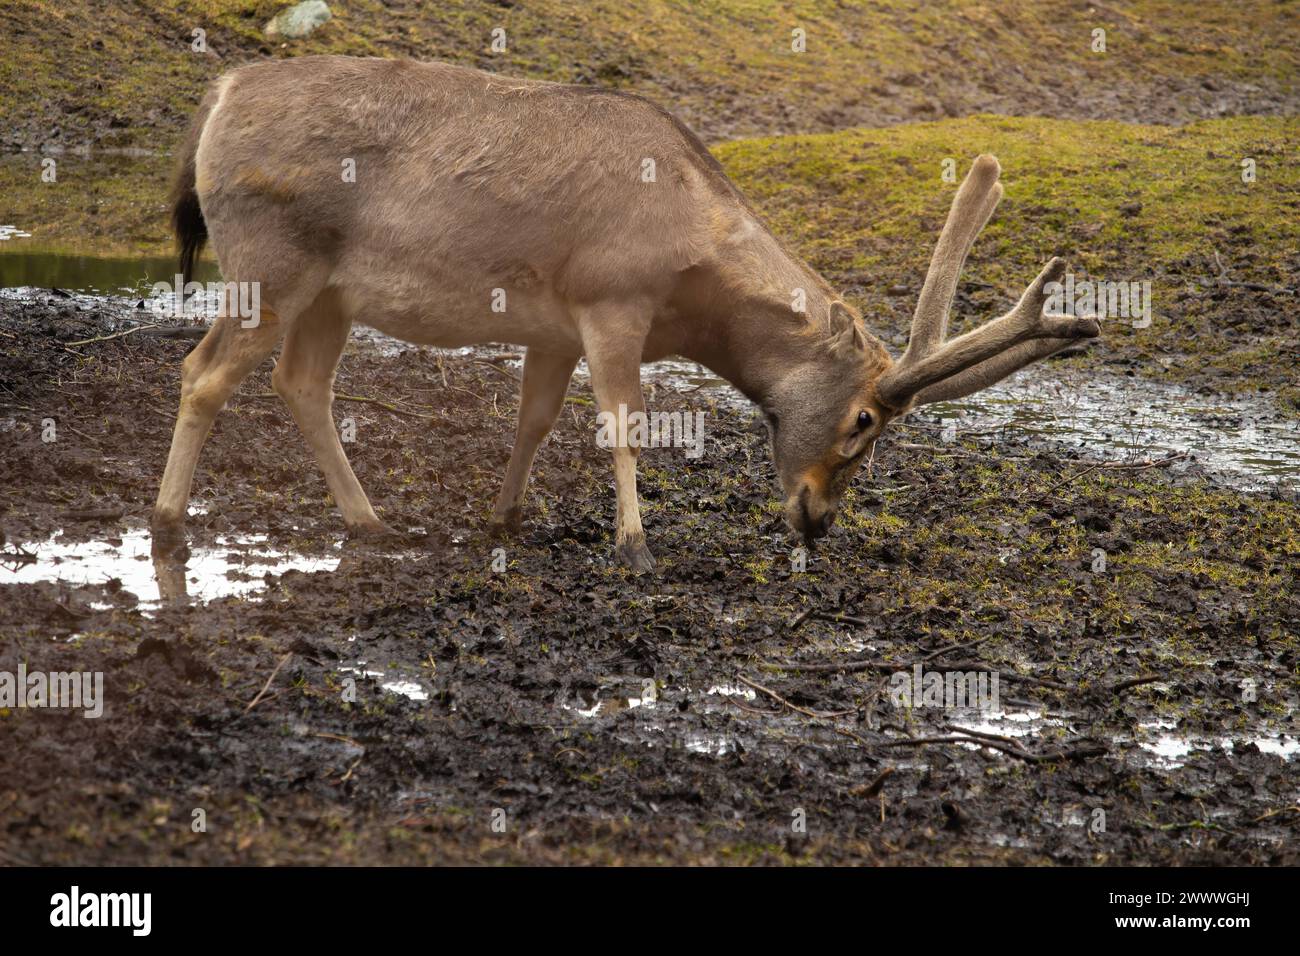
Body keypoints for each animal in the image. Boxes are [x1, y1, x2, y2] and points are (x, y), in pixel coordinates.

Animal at [152, 55, 1099, 571]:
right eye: (865, 418)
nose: (816, 518)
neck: (692, 262)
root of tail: (219, 96)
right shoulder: (612, 300)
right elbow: (623, 423)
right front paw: (636, 546)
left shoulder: (552, 328)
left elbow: (535, 420)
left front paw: (504, 517)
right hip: (270, 261)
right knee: (204, 372)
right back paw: (166, 528)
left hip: (331, 291)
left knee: (301, 382)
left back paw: (369, 519)